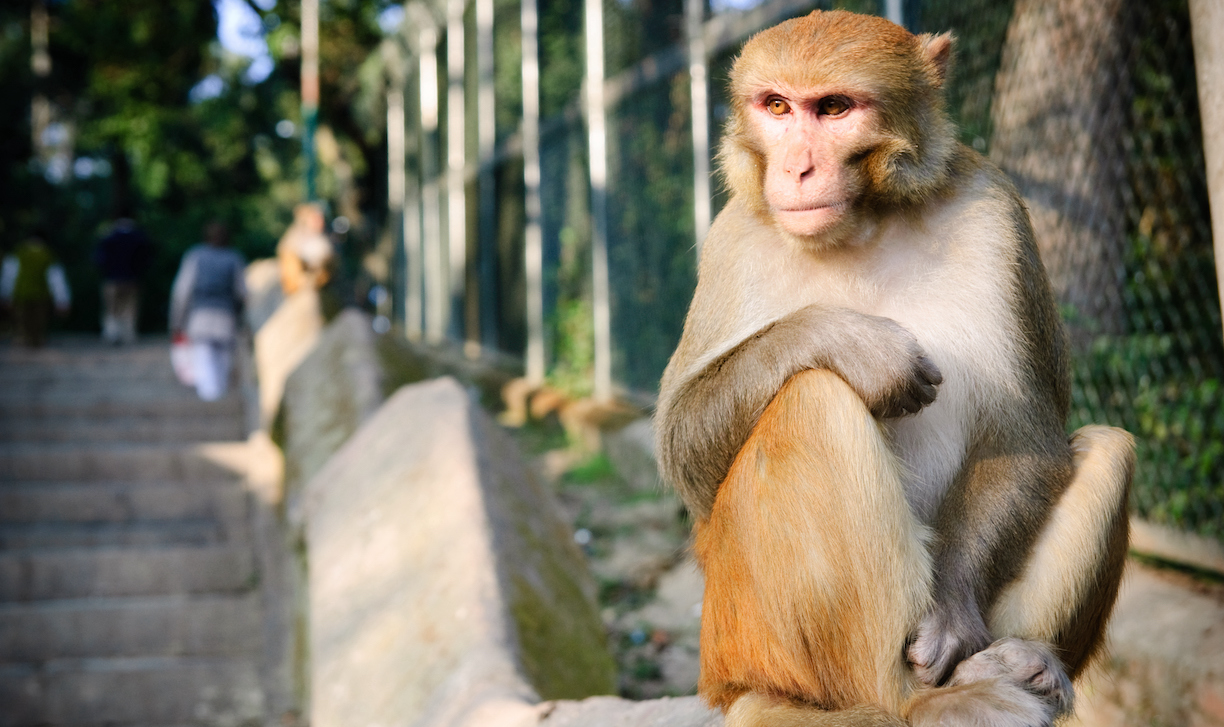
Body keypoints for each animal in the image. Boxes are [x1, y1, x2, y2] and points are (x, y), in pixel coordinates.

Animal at [654, 10, 1134, 727]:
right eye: (777, 106)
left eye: (833, 108)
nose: (796, 168)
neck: (865, 225)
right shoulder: (732, 239)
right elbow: (681, 446)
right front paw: (848, 339)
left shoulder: (996, 213)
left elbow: (1024, 437)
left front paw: (955, 617)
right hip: (750, 639)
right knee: (813, 398)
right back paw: (915, 700)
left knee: (1109, 448)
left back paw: (1018, 664)